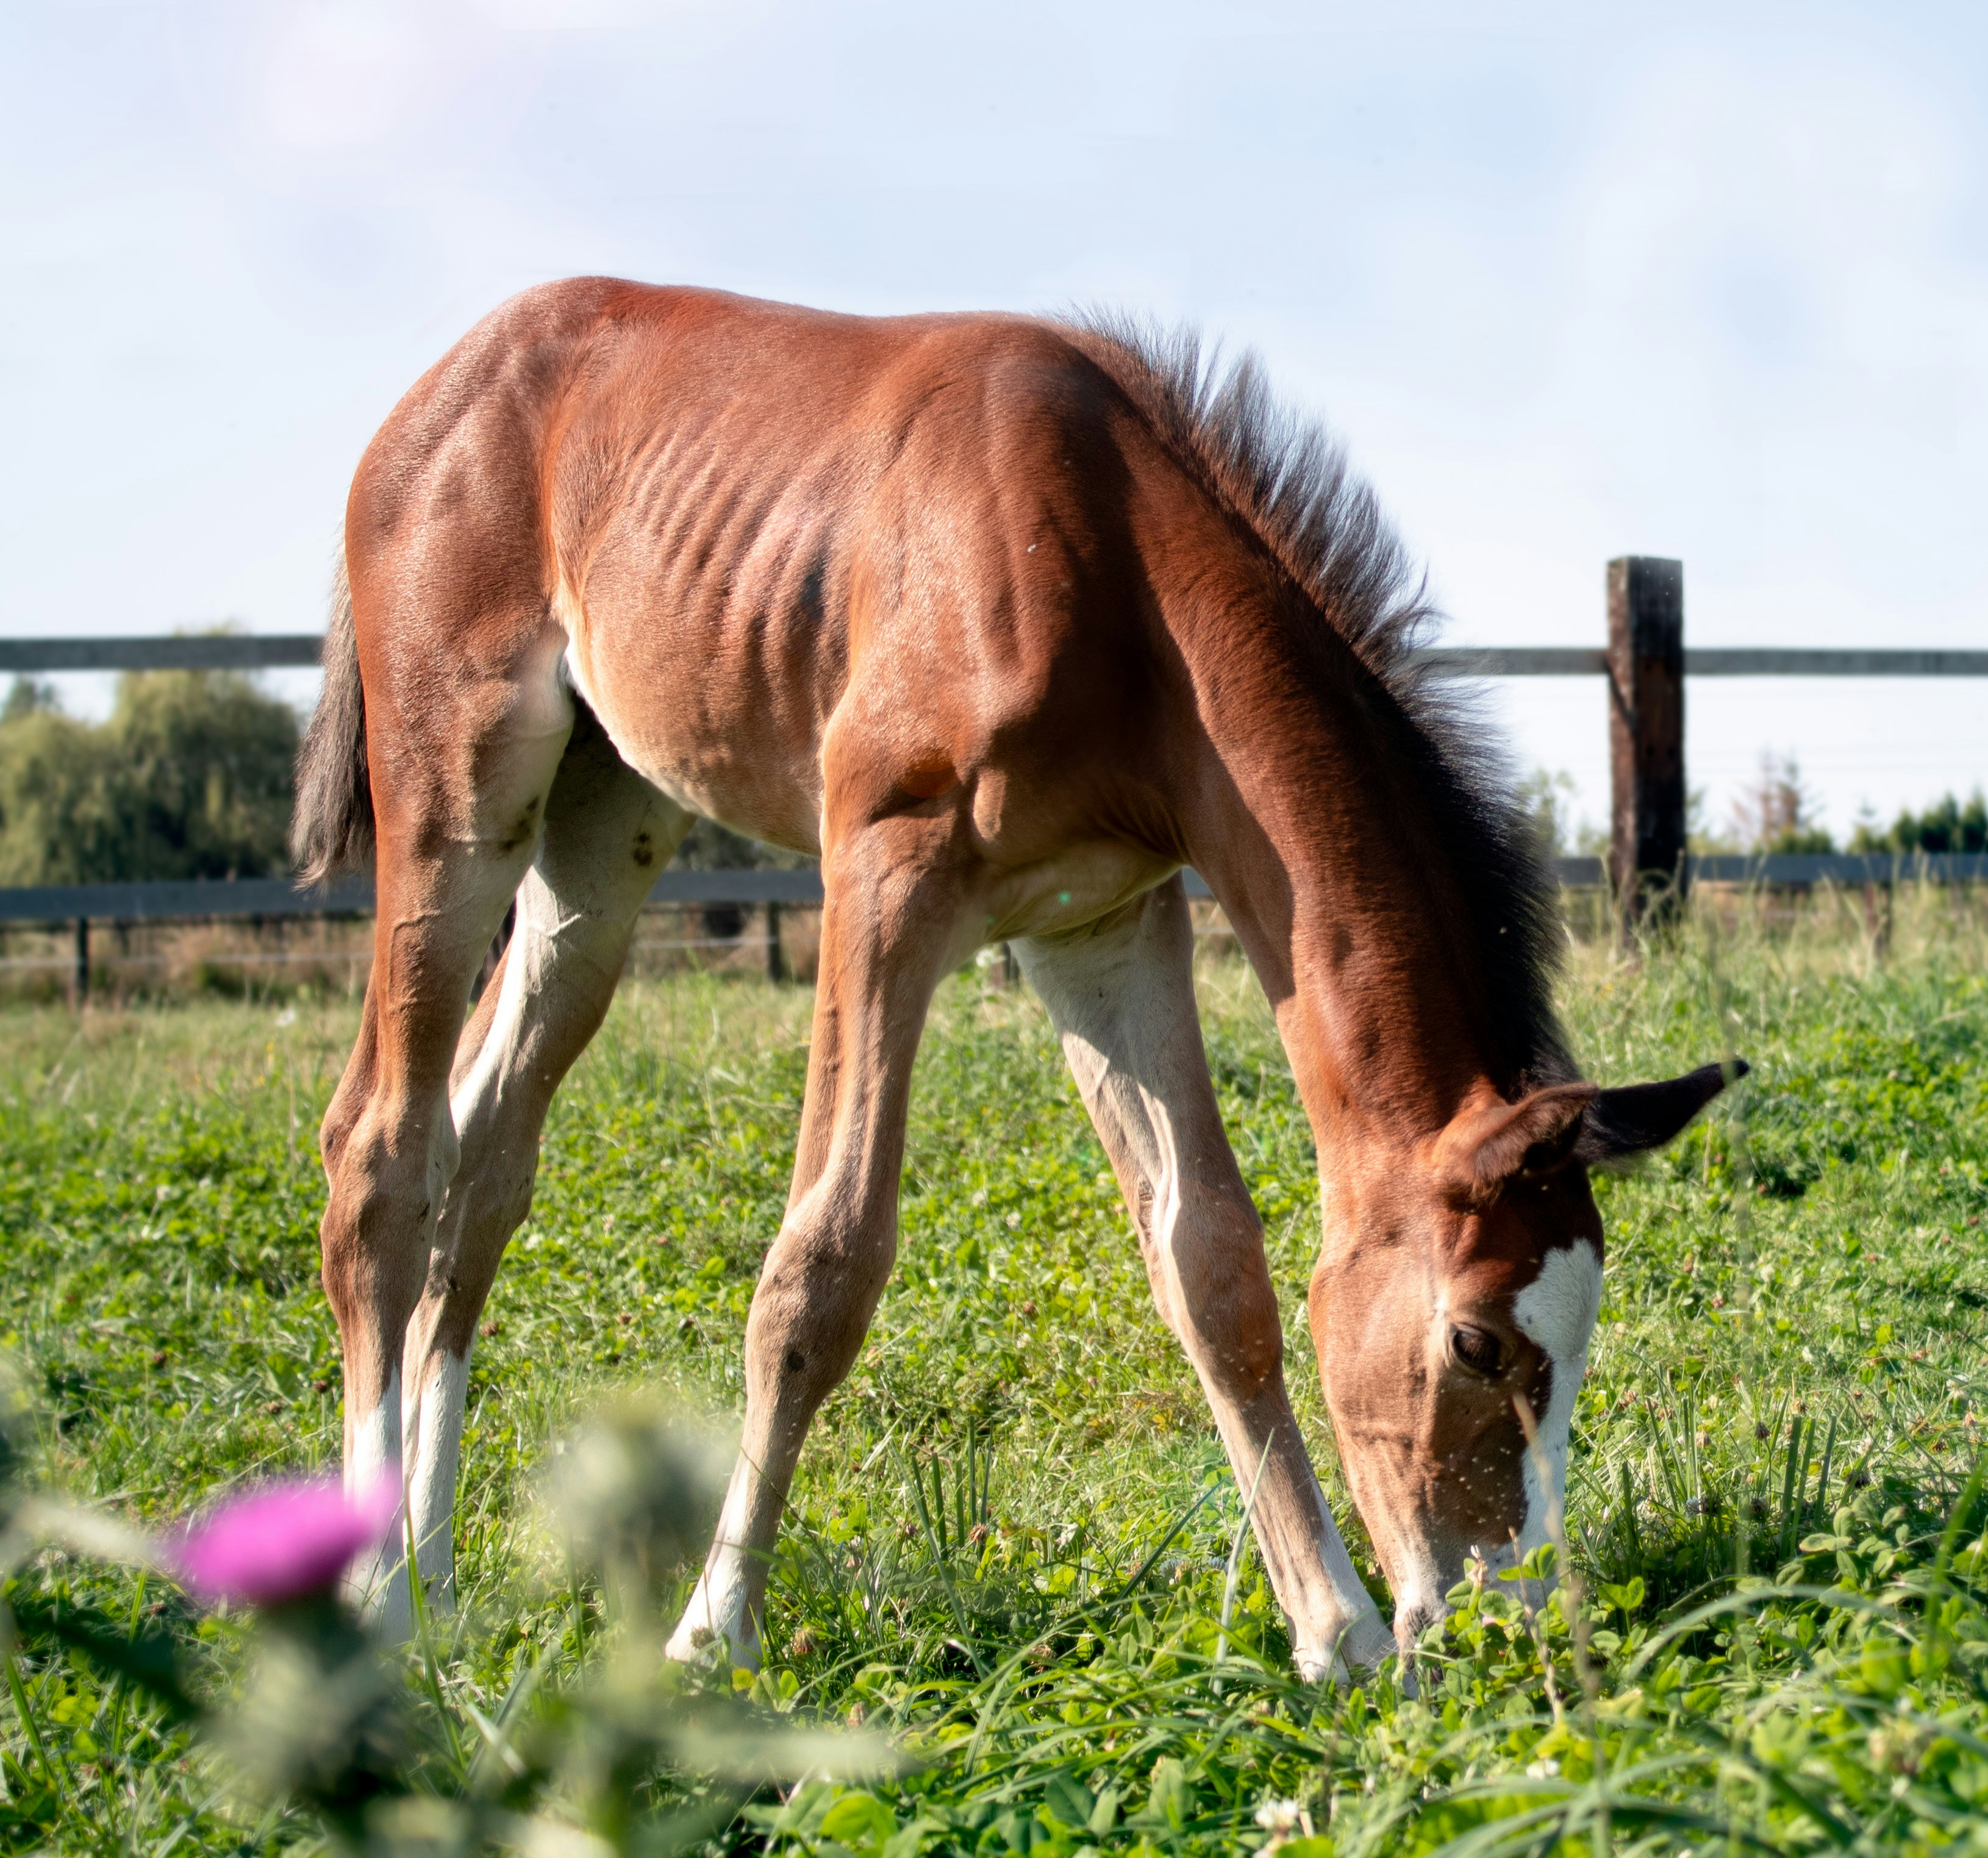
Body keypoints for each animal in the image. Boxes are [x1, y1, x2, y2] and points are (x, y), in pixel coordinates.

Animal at [292, 279, 1738, 1678]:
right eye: (1477, 1341)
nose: (1513, 1618)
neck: (1117, 570)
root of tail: (433, 394)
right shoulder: (884, 870)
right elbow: (822, 1261)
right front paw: (712, 1634)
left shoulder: (1103, 921)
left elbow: (1213, 1263)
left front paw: (1338, 1633)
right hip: (456, 799)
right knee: (380, 1142)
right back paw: (375, 1596)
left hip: (600, 838)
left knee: (484, 1160)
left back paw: (434, 1575)